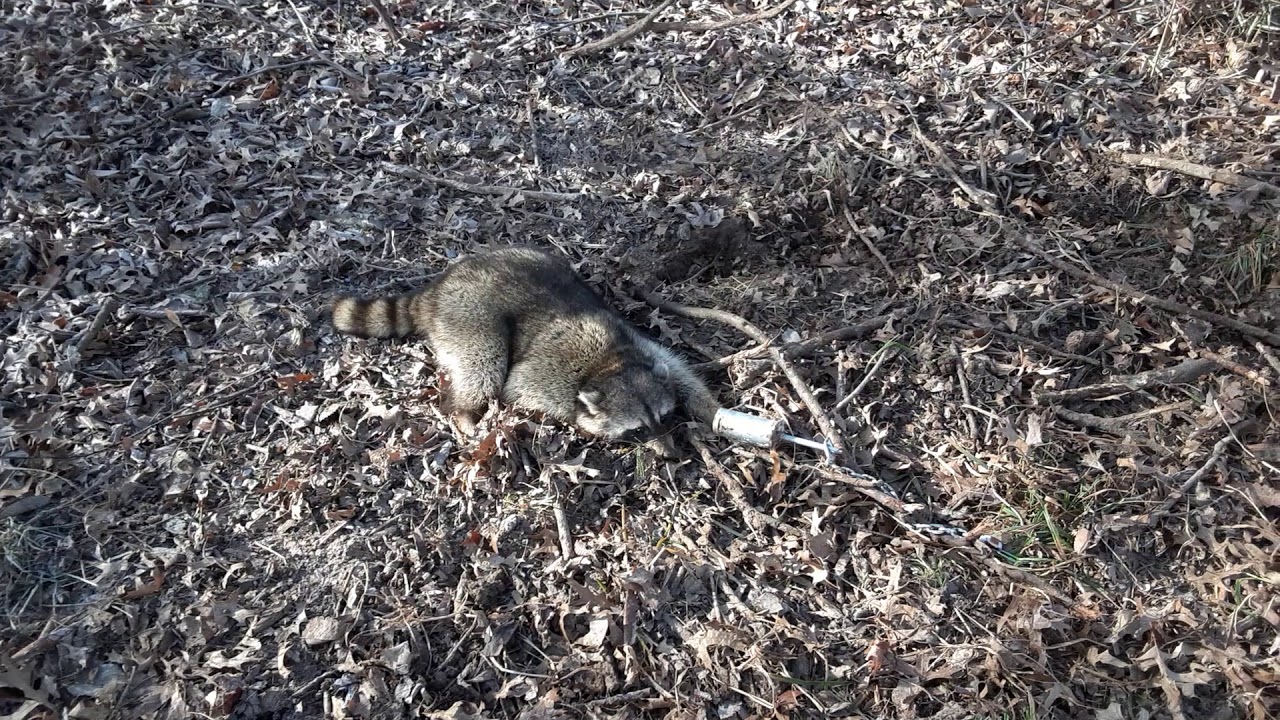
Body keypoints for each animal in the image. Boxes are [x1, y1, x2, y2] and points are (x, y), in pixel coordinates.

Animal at [330, 247, 721, 439]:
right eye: (637, 431)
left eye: (664, 417)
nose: (670, 453)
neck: (610, 363)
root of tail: (439, 288)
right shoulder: (551, 377)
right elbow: (516, 389)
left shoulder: (640, 345)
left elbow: (681, 371)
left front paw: (713, 409)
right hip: (467, 315)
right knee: (484, 366)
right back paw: (464, 413)